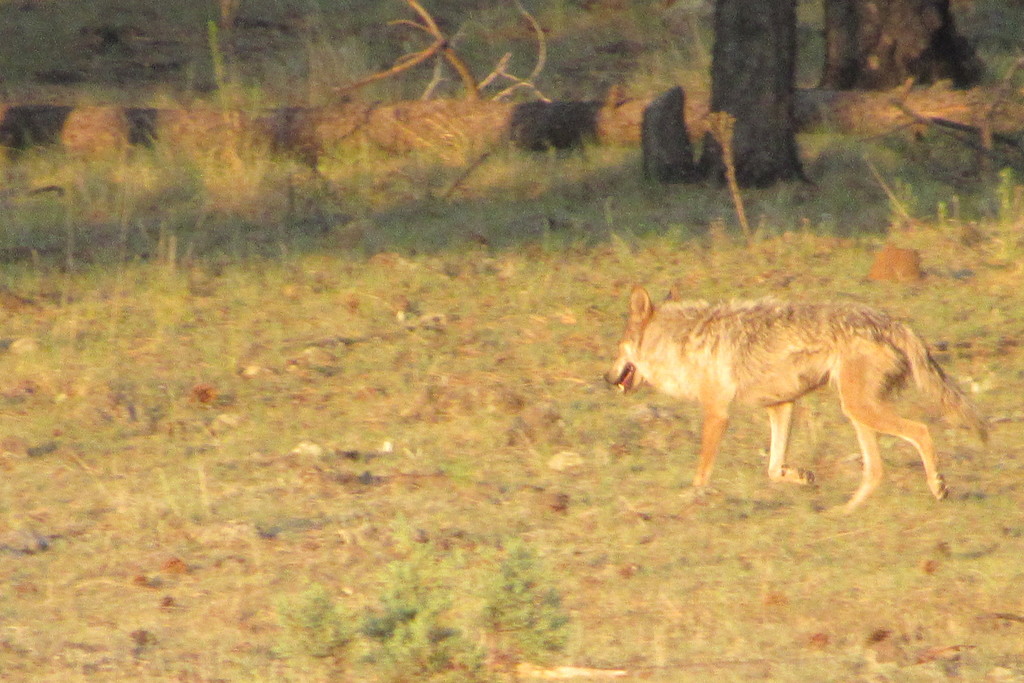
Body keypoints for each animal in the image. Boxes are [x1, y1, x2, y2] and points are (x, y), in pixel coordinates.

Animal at [606, 286, 987, 512]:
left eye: (618, 347)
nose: (605, 379)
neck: (682, 343)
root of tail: (890, 321)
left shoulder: (717, 414)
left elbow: (702, 472)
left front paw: (691, 499)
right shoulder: (781, 406)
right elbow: (775, 468)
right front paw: (803, 477)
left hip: (860, 410)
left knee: (921, 431)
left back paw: (938, 487)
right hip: (857, 413)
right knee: (876, 470)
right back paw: (844, 512)